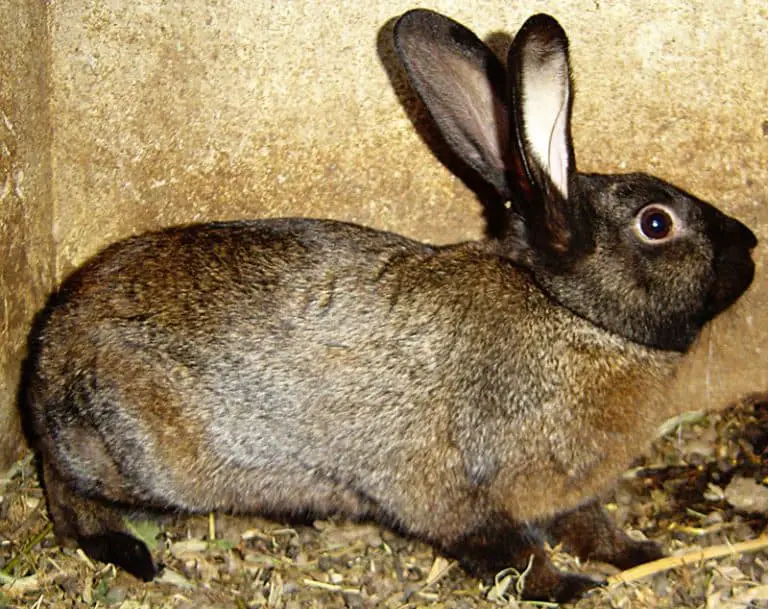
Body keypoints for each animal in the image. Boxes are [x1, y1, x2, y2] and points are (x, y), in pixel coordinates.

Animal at [20, 8, 757, 603]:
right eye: (656, 223)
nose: (750, 247)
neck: (572, 315)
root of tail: (49, 351)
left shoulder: (570, 494)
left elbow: (592, 524)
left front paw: (638, 552)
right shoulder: (466, 495)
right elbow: (514, 554)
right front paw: (571, 587)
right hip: (131, 454)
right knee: (65, 488)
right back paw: (122, 544)